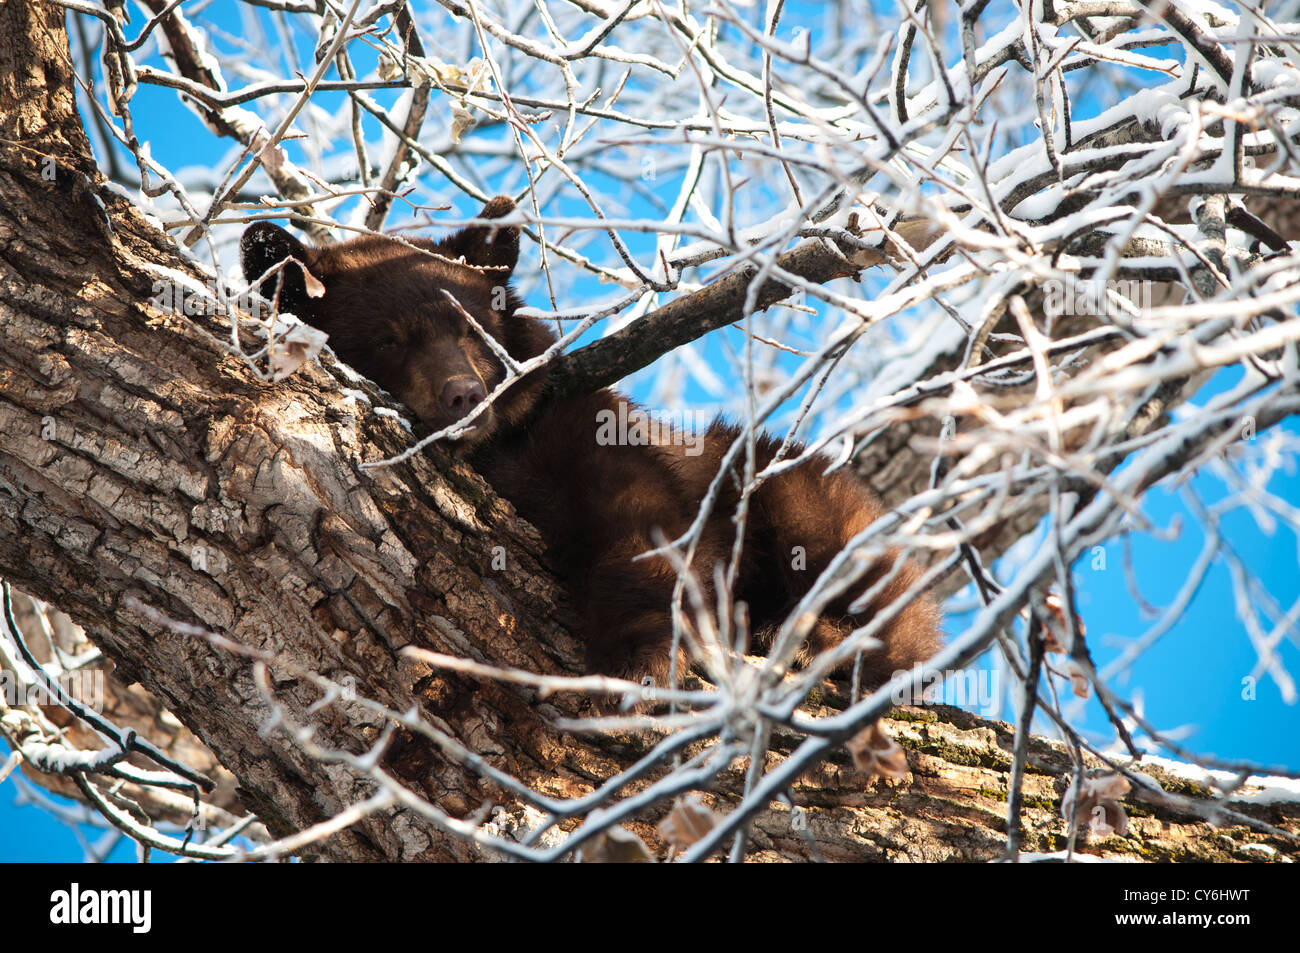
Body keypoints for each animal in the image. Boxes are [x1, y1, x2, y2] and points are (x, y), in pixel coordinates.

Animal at [240, 197, 940, 696]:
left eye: (471, 324)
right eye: (388, 340)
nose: (465, 395)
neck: (496, 449)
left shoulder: (591, 430)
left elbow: (643, 525)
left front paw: (638, 658)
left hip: (787, 482)